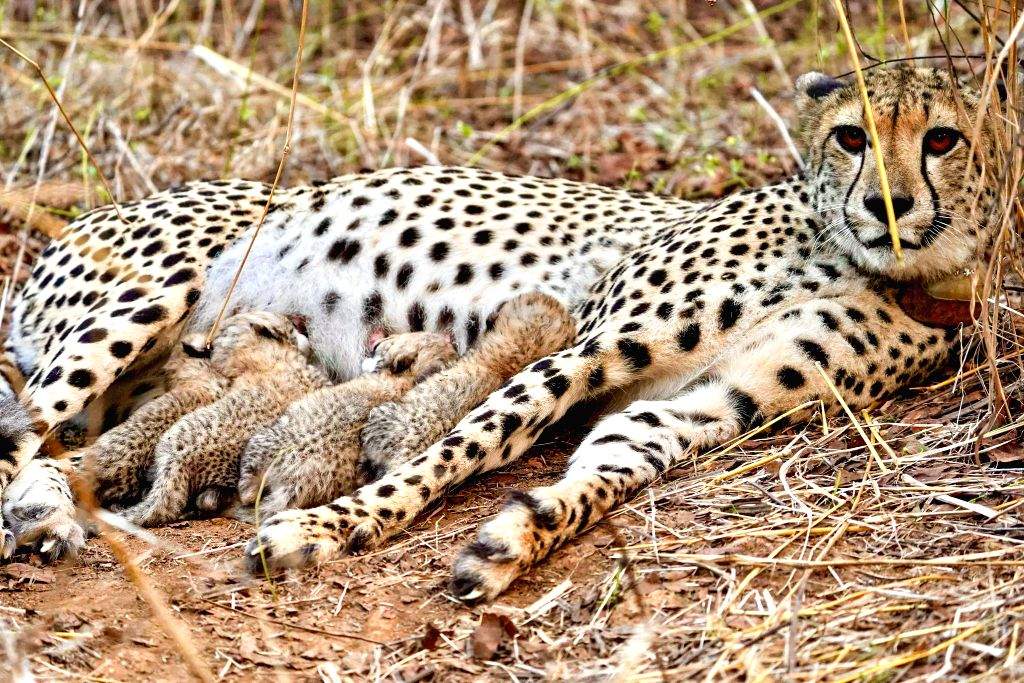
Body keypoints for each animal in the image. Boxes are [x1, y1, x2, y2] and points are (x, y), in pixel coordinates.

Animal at [0, 67, 999, 604]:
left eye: (943, 138)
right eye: (852, 136)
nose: (889, 206)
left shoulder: (704, 404)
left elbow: (600, 472)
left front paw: (515, 540)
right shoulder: (586, 345)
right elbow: (457, 447)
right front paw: (331, 526)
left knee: (62, 446)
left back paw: (57, 511)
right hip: (144, 298)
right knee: (22, 431)